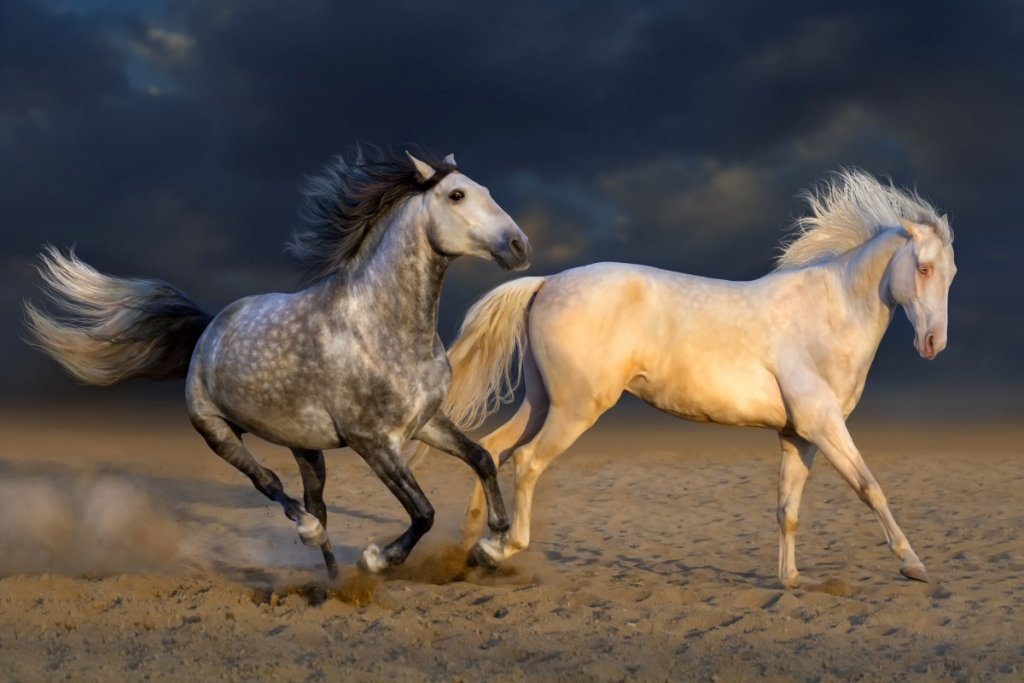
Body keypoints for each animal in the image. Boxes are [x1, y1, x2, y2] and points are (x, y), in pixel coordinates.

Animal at [25, 147, 531, 580]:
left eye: (485, 188)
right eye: (456, 195)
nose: (518, 244)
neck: (382, 325)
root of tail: (208, 330)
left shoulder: (424, 422)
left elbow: (482, 459)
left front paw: (493, 545)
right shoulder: (372, 442)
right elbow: (423, 512)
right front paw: (377, 559)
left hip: (305, 447)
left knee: (316, 502)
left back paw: (334, 583)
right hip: (215, 431)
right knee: (270, 484)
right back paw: (310, 535)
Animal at [417, 169, 956, 588]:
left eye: (950, 273)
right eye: (923, 268)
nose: (933, 344)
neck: (827, 314)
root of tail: (545, 282)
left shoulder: (798, 435)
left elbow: (788, 508)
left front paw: (790, 579)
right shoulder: (824, 425)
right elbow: (870, 487)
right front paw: (913, 565)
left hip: (540, 401)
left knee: (492, 450)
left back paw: (472, 547)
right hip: (575, 408)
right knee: (527, 461)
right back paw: (500, 547)